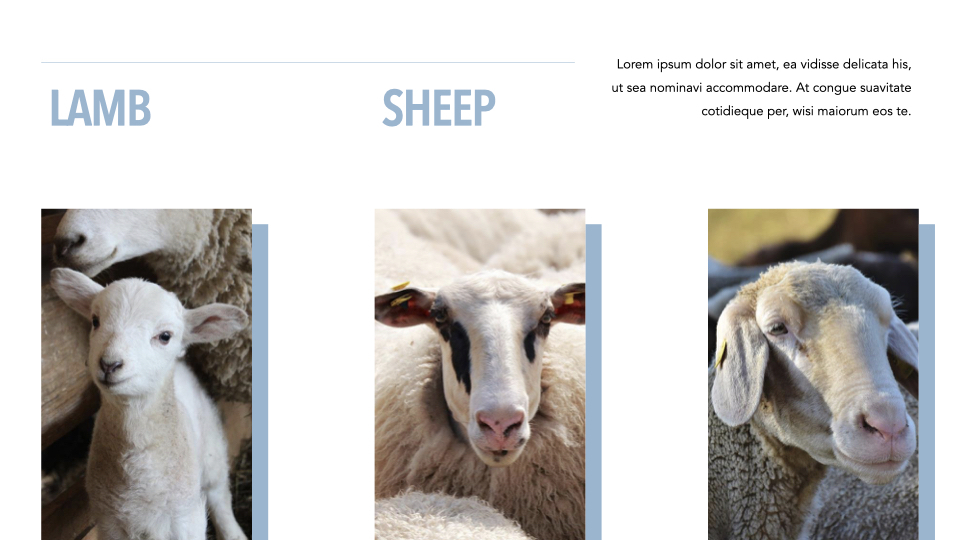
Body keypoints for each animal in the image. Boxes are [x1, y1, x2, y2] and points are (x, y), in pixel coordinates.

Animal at [49, 268, 248, 540]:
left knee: (220, 496)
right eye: (95, 321)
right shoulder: (110, 523)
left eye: (165, 336)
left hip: (211, 450)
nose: (109, 364)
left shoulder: (187, 518)